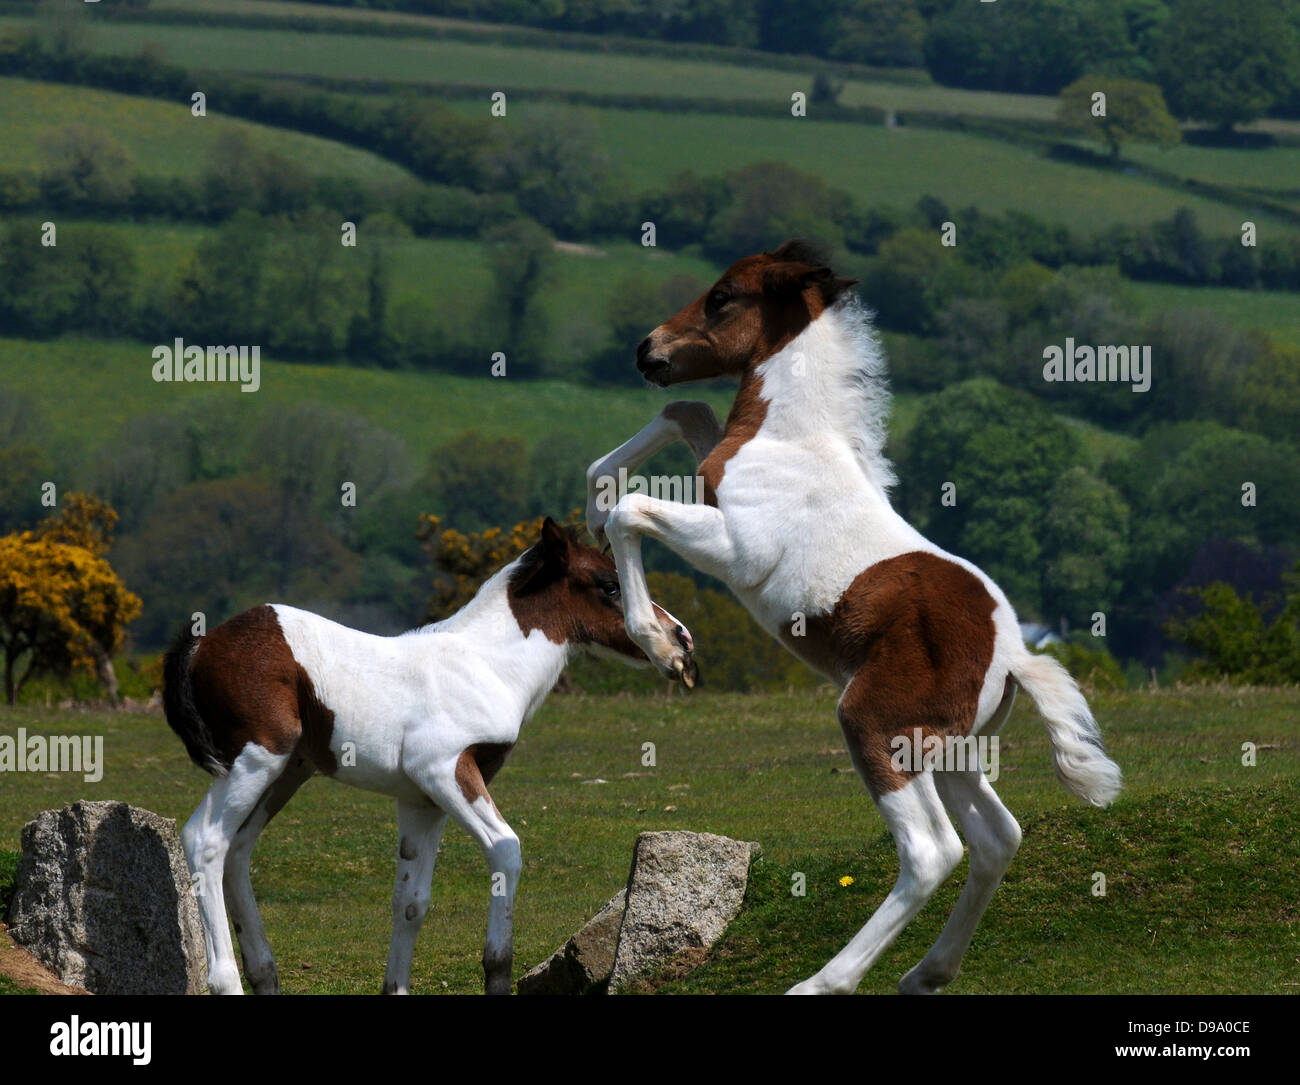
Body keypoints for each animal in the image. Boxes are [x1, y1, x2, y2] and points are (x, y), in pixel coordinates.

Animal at [162, 518, 696, 995]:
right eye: (610, 585)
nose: (682, 641)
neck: (487, 663)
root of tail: (202, 643)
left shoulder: (422, 799)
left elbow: (411, 901)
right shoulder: (444, 769)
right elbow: (505, 850)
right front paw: (497, 973)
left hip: (288, 773)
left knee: (238, 851)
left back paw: (264, 973)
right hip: (256, 760)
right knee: (206, 841)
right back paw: (226, 979)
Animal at [585, 239, 1122, 995]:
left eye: (722, 297)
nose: (647, 349)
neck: (790, 438)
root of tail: (1015, 652)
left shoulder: (732, 545)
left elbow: (633, 511)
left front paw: (666, 647)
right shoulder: (714, 468)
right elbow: (680, 417)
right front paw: (592, 507)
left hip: (877, 726)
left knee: (933, 850)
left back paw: (823, 982)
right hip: (948, 750)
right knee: (998, 838)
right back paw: (927, 973)